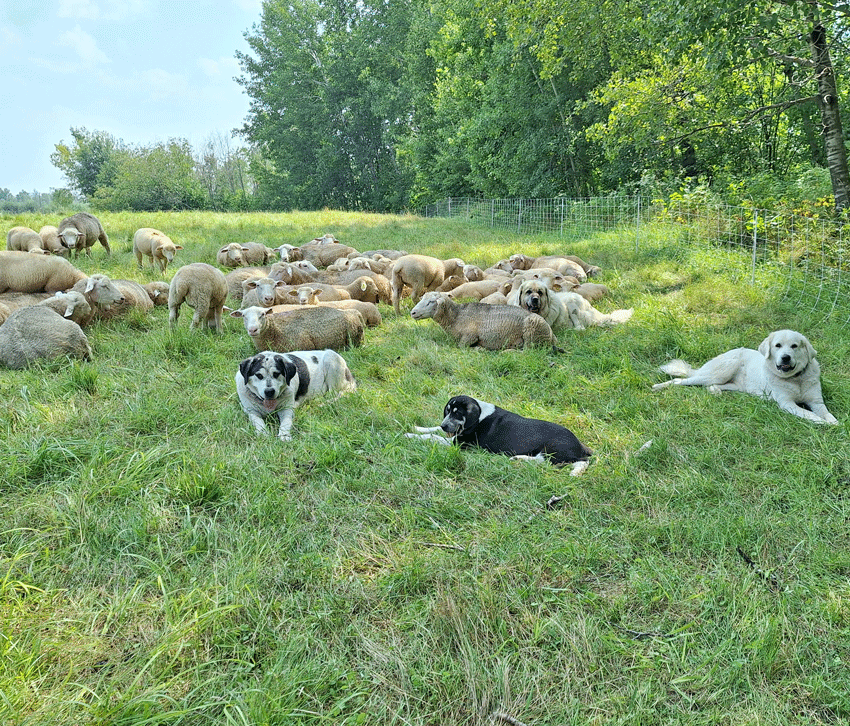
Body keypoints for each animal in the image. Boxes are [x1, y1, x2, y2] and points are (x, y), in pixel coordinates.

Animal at [230, 305, 365, 353]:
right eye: (243, 316)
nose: (253, 330)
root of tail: (354, 311)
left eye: (262, 314)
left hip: (356, 339)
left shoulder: (305, 347)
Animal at [410, 291, 560, 352]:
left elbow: (461, 346)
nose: (413, 312)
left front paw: (479, 348)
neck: (456, 316)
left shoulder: (470, 336)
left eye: (431, 302)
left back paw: (507, 352)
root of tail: (552, 334)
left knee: (529, 352)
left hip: (532, 329)